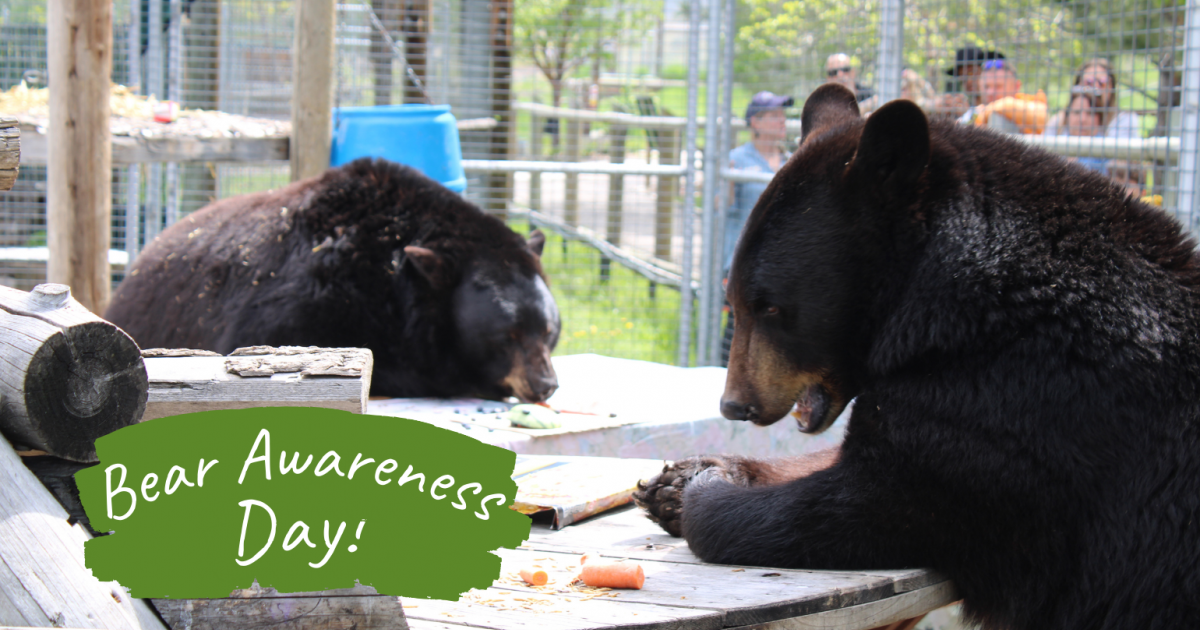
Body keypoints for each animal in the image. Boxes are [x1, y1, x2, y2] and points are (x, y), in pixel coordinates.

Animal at [634, 84, 1200, 630]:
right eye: (733, 299)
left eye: (769, 306)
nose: (734, 405)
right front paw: (678, 479)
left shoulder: (1017, 415)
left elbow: (863, 502)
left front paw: (703, 491)